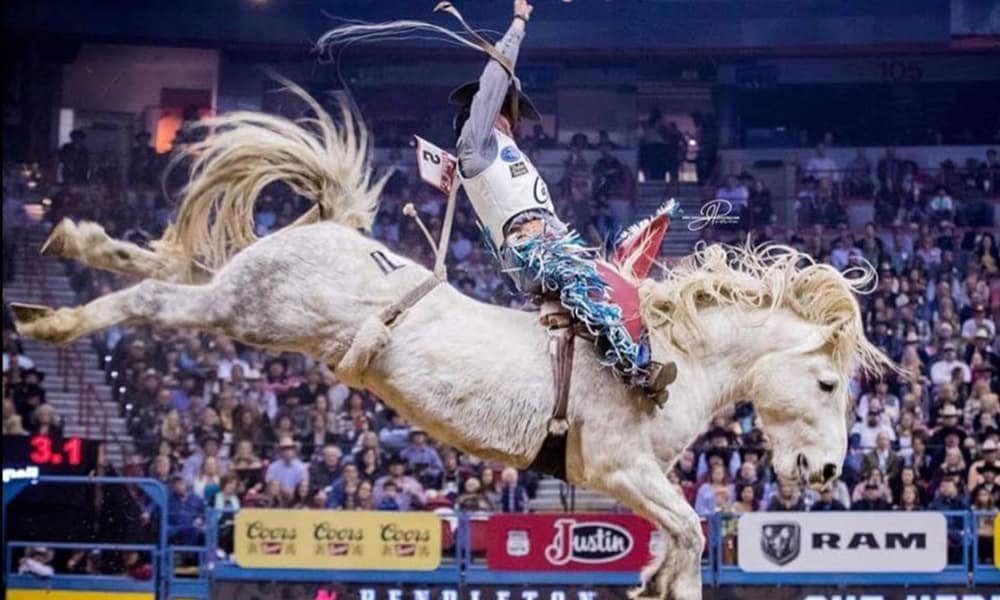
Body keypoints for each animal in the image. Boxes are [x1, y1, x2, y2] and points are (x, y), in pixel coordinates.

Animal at [11, 82, 892, 600]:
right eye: (826, 386)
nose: (827, 472)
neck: (673, 354)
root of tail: (334, 224)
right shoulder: (618, 466)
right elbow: (690, 530)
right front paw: (661, 579)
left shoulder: (625, 480)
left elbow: (680, 534)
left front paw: (649, 576)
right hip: (249, 309)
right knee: (159, 295)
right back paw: (52, 319)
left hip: (243, 291)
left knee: (166, 262)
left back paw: (72, 241)